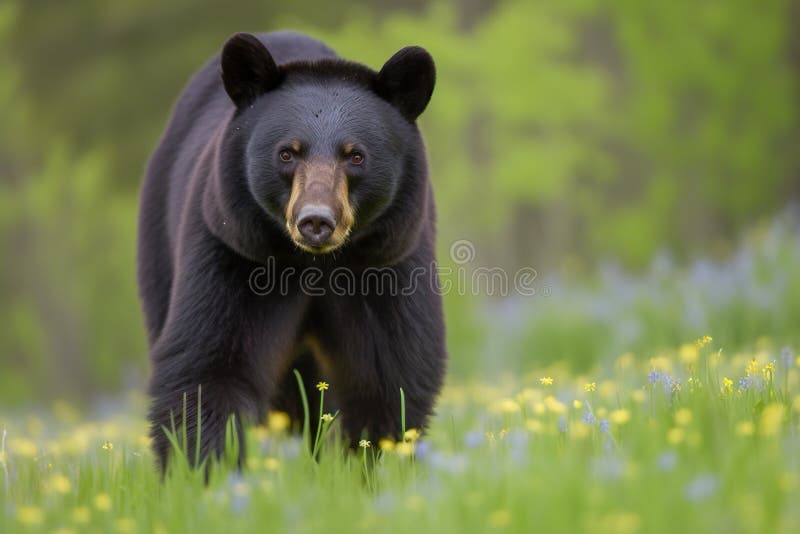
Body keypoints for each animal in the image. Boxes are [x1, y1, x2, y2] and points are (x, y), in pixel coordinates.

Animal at [137, 31, 446, 470]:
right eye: (287, 152)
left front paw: (370, 464)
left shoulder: (385, 262)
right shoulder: (234, 252)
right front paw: (207, 469)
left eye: (355, 155)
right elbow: (208, 361)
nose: (315, 220)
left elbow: (388, 371)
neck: (314, 263)